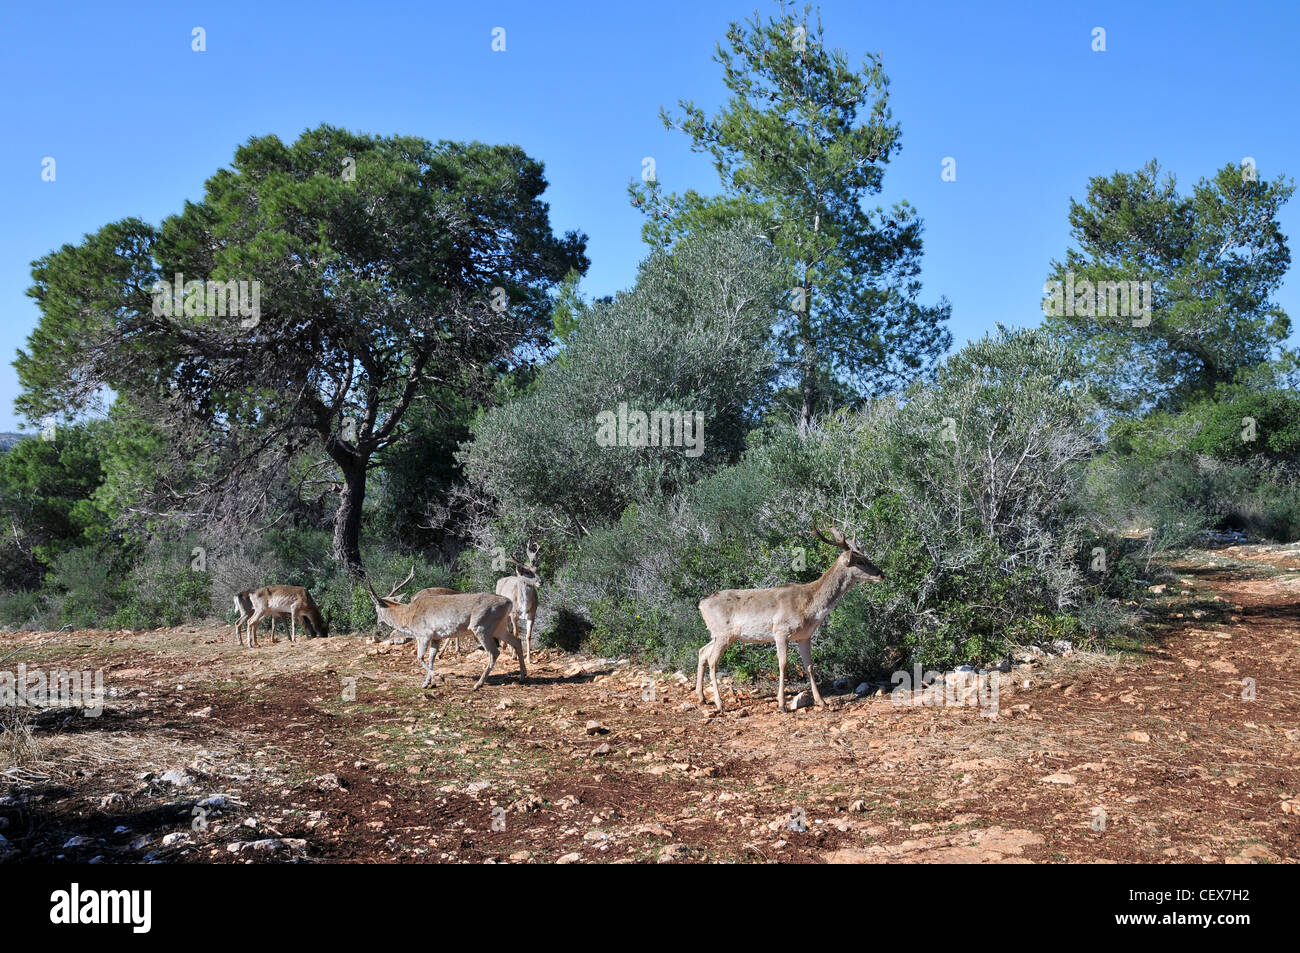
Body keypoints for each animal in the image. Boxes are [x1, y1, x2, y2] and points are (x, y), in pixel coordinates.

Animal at [367, 571, 526, 691]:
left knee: (494, 652)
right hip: (498, 627)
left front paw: (440, 677)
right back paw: (522, 676)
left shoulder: (423, 634)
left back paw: (477, 684)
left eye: (376, 609)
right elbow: (431, 658)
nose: (378, 621)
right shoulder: (436, 637)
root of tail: (508, 602)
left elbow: (420, 657)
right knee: (516, 641)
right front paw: (426, 683)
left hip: (481, 626)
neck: (408, 617)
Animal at [696, 525, 886, 713]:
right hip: (723, 633)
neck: (810, 606)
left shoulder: (805, 636)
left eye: (866, 557)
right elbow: (783, 664)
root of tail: (702, 603)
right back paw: (720, 704)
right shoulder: (780, 631)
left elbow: (809, 666)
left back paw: (702, 697)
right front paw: (782, 704)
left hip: (719, 634)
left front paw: (821, 701)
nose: (881, 574)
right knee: (713, 659)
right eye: (860, 562)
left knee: (702, 651)